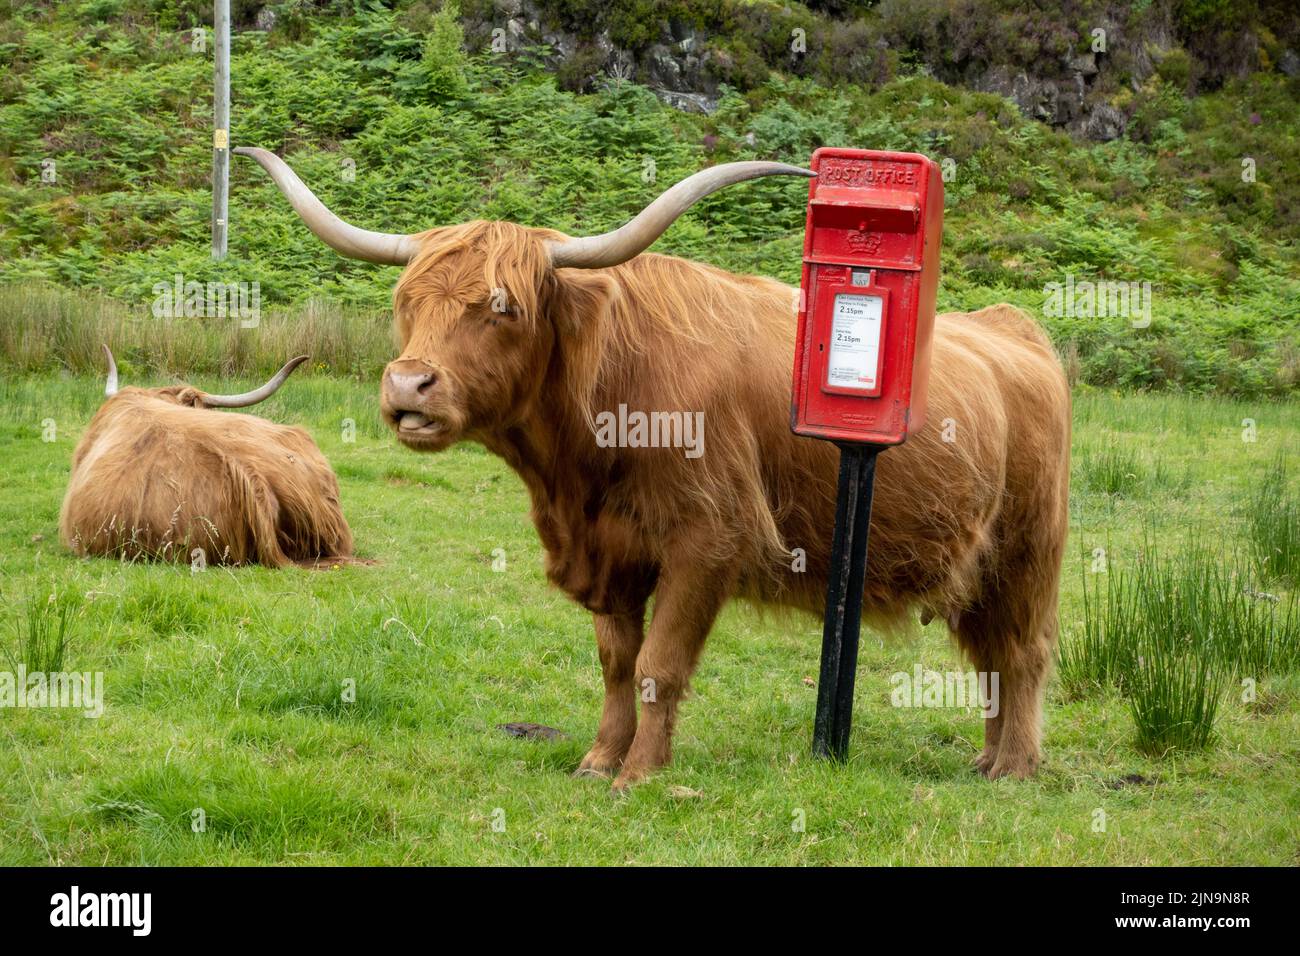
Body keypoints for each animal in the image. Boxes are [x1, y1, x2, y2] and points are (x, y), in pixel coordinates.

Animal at [237, 146, 1070, 789]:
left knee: (1023, 653)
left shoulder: (708, 541)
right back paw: (987, 760)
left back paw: (1015, 767)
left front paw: (639, 774)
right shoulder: (608, 550)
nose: (408, 386)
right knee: (992, 658)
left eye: (503, 308)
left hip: (1027, 553)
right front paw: (598, 760)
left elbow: (659, 663)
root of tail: (1011, 328)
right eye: (408, 302)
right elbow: (616, 662)